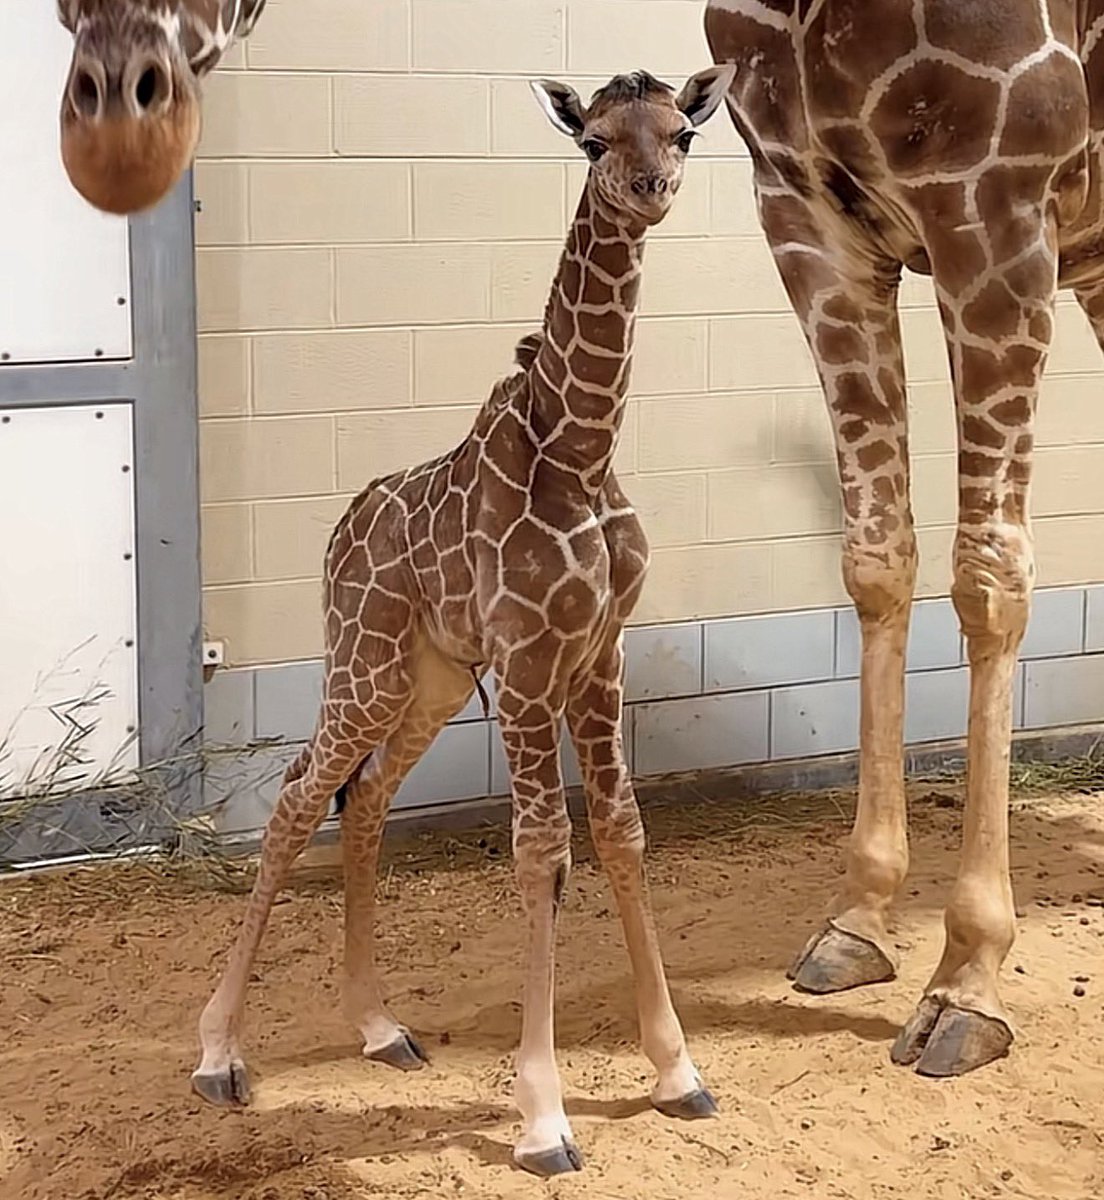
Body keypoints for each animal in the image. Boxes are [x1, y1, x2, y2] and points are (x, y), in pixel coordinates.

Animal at [190, 66, 736, 1176]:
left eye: (683, 134)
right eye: (594, 140)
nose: (651, 189)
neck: (581, 450)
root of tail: (337, 538)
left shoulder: (599, 657)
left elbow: (621, 831)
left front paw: (678, 1073)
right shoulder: (528, 664)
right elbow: (541, 852)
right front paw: (542, 1119)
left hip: (429, 680)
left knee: (367, 798)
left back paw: (379, 1027)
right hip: (361, 665)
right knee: (298, 798)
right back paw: (219, 1054)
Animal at [704, 0, 1102, 1077]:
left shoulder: (998, 204)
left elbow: (989, 577)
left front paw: (967, 979)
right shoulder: (805, 214)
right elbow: (877, 557)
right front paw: (859, 916)